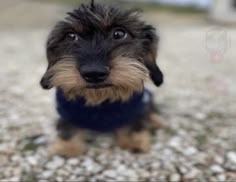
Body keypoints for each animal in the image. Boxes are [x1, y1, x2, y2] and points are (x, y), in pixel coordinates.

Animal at [40, 0, 163, 158]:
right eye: (71, 36)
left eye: (119, 33)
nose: (94, 73)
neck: (101, 99)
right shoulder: (65, 111)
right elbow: (68, 127)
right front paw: (67, 147)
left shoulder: (137, 107)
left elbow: (135, 122)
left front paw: (133, 141)